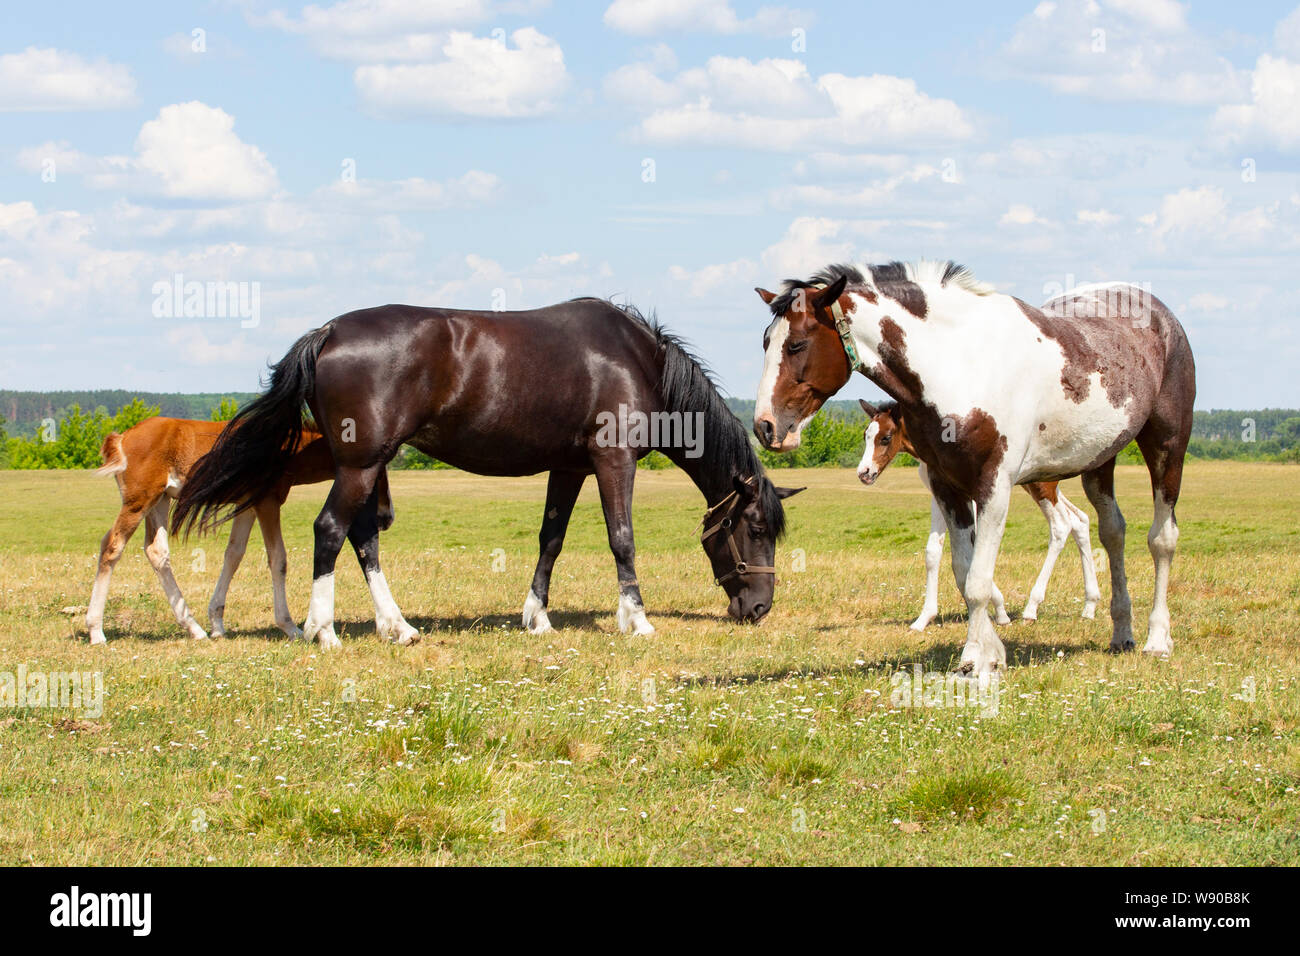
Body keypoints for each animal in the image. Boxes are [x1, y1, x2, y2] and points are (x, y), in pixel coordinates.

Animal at [87, 416, 394, 645]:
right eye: (378, 474)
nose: (386, 517)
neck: (289, 448)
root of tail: (122, 437)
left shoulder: (246, 505)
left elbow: (234, 554)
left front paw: (217, 623)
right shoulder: (267, 501)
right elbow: (278, 558)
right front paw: (290, 627)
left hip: (159, 501)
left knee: (156, 552)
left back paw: (195, 628)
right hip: (139, 501)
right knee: (112, 546)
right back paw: (96, 630)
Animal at [172, 298, 802, 650]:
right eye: (755, 530)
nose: (760, 609)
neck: (636, 359)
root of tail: (328, 332)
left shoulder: (569, 467)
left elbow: (552, 538)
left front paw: (537, 618)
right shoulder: (613, 459)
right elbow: (621, 537)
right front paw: (637, 620)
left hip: (369, 467)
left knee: (363, 536)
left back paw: (397, 627)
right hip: (360, 464)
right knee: (331, 531)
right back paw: (322, 630)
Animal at [855, 399, 1100, 630]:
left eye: (885, 438)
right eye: (866, 436)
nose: (864, 473)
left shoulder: (974, 494)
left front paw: (998, 610)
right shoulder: (941, 494)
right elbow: (933, 552)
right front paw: (924, 618)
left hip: (1041, 486)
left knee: (1061, 524)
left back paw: (1032, 607)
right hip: (1039, 485)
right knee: (1079, 520)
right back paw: (1089, 605)